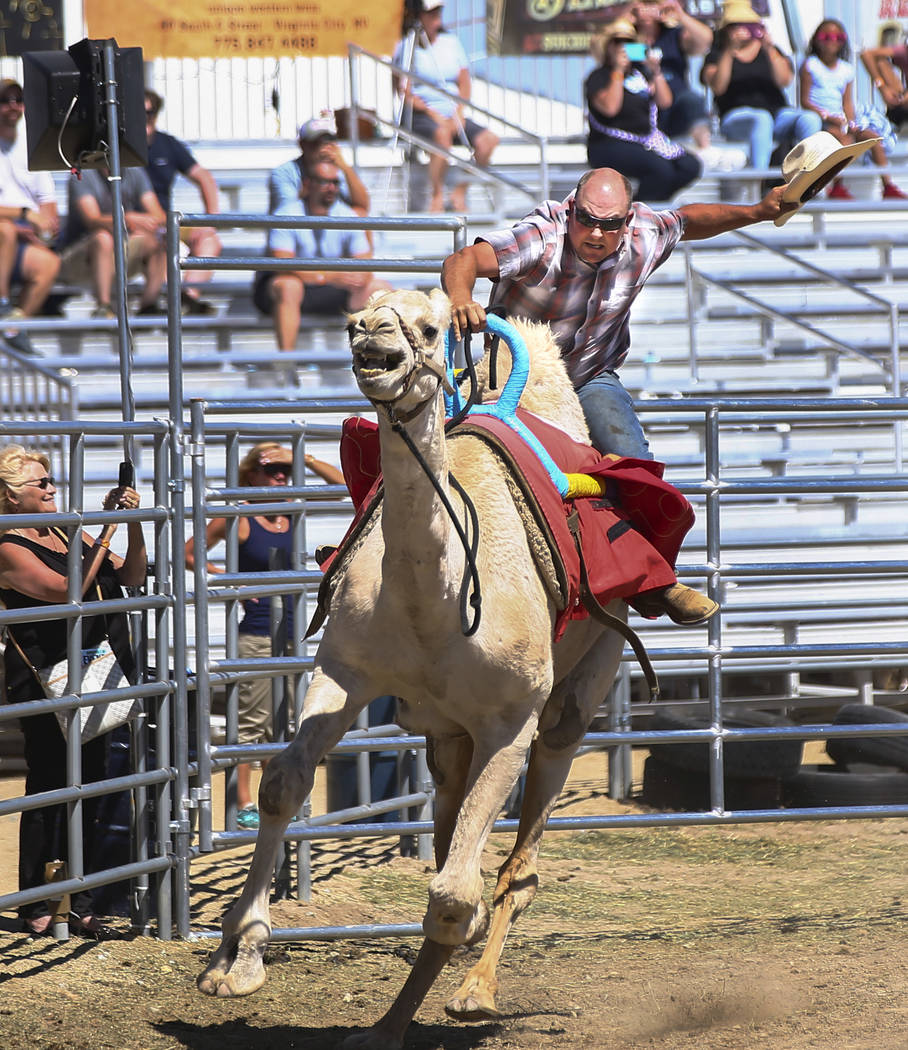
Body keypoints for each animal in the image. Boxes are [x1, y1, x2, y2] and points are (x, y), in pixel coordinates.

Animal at [197, 288, 626, 1048]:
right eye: (354, 318)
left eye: (429, 327)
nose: (372, 335)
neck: (441, 593)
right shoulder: (344, 674)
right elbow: (282, 786)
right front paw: (234, 959)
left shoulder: (510, 720)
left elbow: (454, 892)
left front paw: (465, 947)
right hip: (446, 736)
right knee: (451, 823)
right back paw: (387, 1026)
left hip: (575, 694)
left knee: (522, 853)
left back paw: (475, 993)